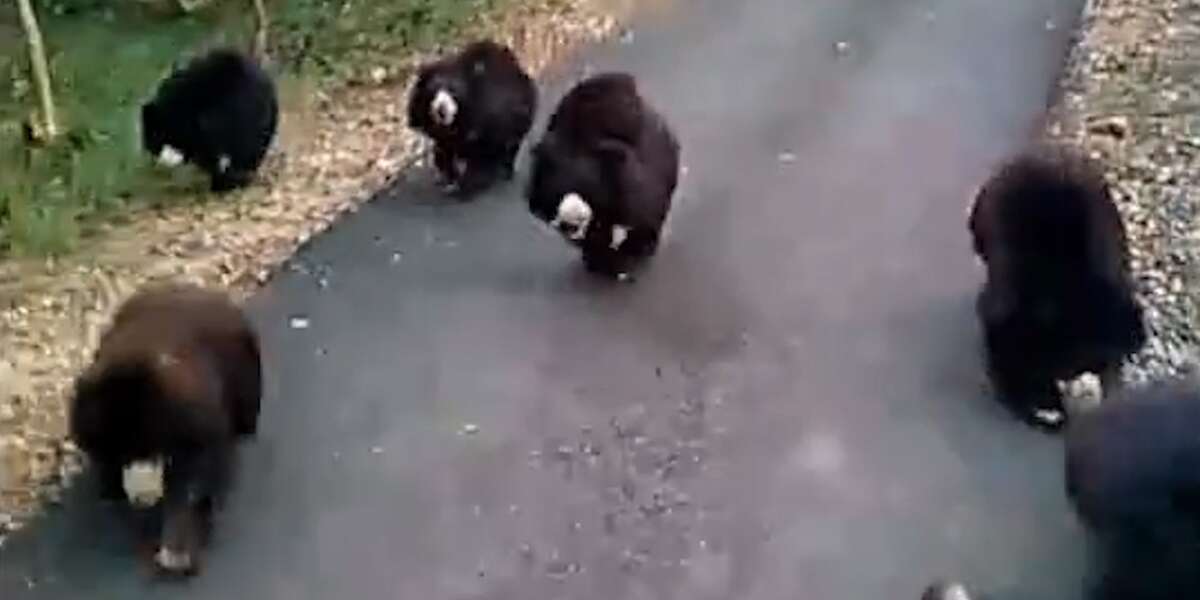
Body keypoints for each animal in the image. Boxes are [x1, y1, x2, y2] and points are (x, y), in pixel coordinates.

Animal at [407, 40, 537, 197]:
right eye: (432, 93)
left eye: (453, 93)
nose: (442, 111)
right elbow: (444, 150)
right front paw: (449, 179)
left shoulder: (487, 120)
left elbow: (480, 156)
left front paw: (465, 186)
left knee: (509, 146)